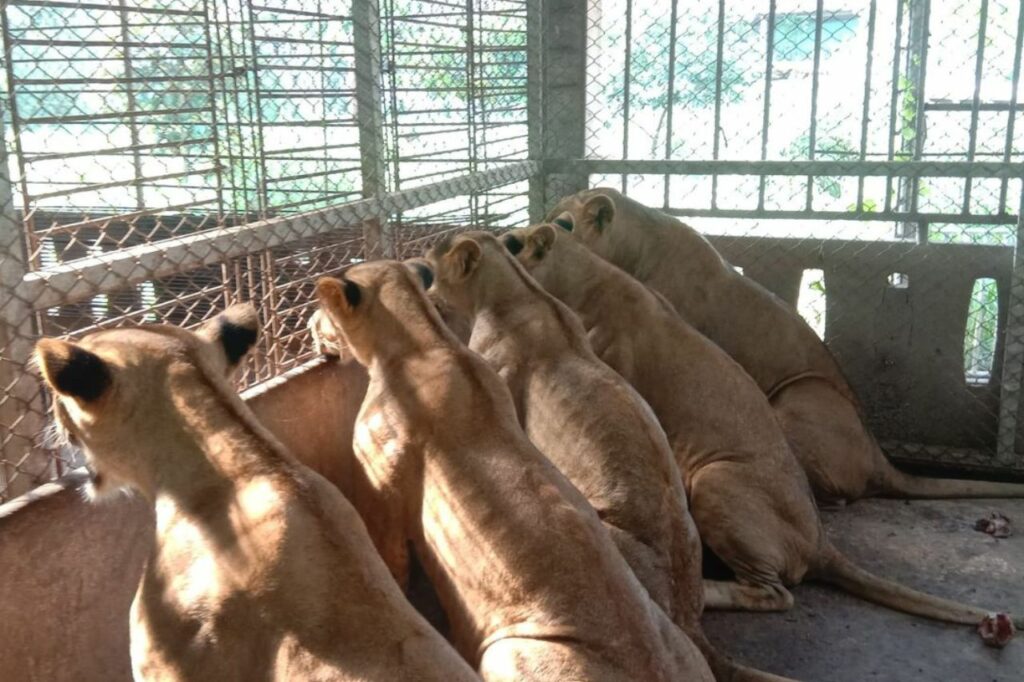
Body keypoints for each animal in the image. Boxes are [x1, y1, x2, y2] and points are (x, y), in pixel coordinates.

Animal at [316, 262, 714, 681]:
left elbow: (391, 565)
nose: (310, 326)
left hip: (504, 651)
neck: (425, 341)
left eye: (321, 309)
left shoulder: (379, 489)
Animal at [511, 223, 1019, 642]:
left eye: (510, 242)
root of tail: (821, 540)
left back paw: (710, 589)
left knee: (775, 593)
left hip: (715, 479)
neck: (582, 279)